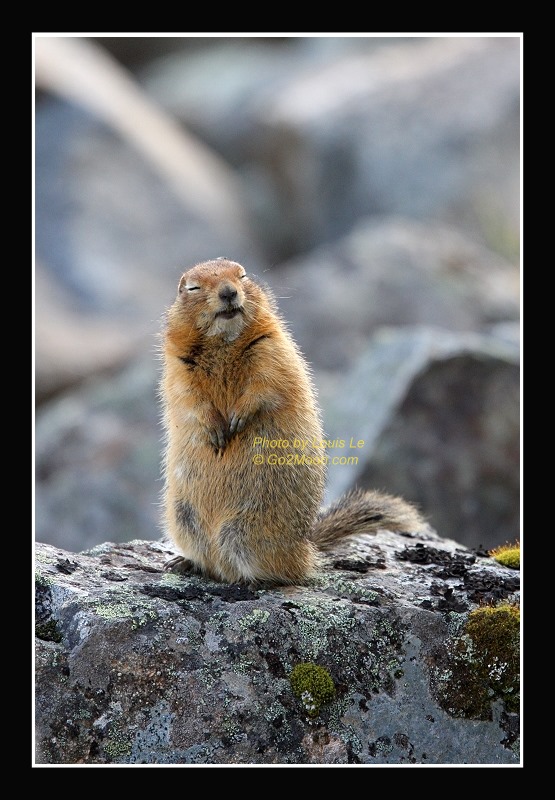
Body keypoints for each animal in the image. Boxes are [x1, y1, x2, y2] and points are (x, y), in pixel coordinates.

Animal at [160, 257, 424, 586]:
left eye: (242, 275)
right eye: (193, 287)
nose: (229, 292)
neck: (222, 340)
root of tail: (307, 546)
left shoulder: (271, 348)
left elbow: (266, 385)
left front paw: (238, 419)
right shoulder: (177, 365)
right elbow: (189, 398)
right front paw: (216, 430)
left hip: (246, 532)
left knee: (282, 571)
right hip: (183, 518)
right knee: (209, 562)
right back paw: (184, 562)